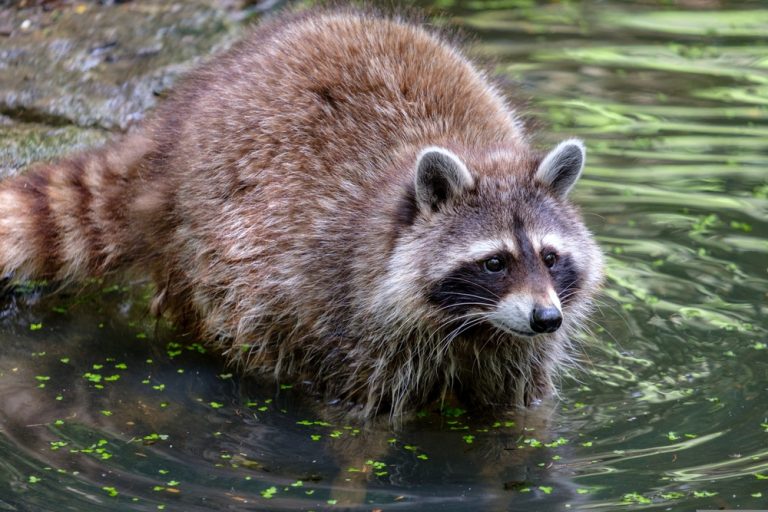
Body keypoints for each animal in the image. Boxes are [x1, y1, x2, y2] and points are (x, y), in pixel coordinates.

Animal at [0, 7, 603, 421]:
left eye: (550, 257)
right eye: (494, 262)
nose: (546, 318)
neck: (473, 327)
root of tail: (171, 130)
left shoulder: (517, 348)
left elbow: (521, 416)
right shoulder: (350, 315)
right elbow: (360, 422)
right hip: (211, 248)